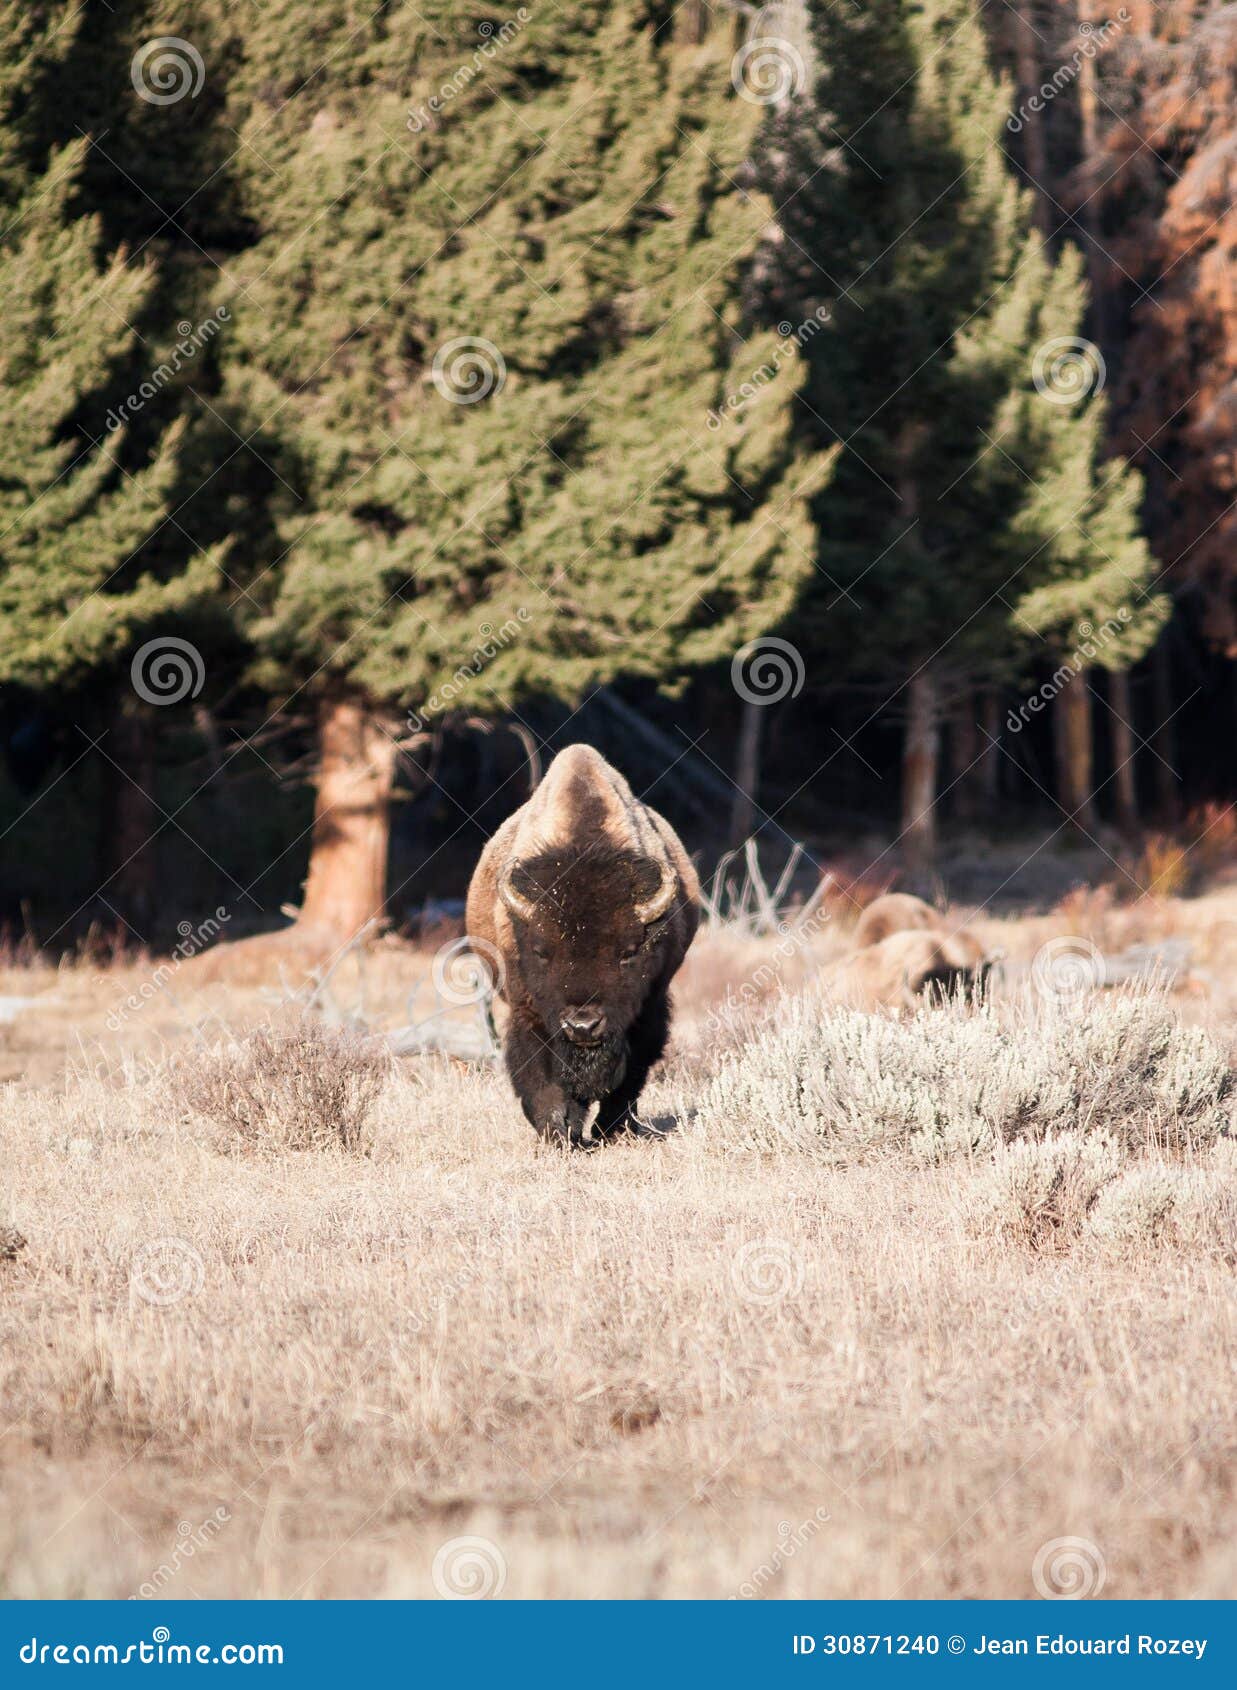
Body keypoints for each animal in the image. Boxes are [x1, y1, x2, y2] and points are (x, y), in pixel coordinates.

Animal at [466, 744, 699, 1145]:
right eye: (542, 952)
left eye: (629, 952)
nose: (583, 1025)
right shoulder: (529, 1010)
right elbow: (541, 1079)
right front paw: (557, 1133)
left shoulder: (648, 1008)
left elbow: (630, 1076)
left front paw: (612, 1130)